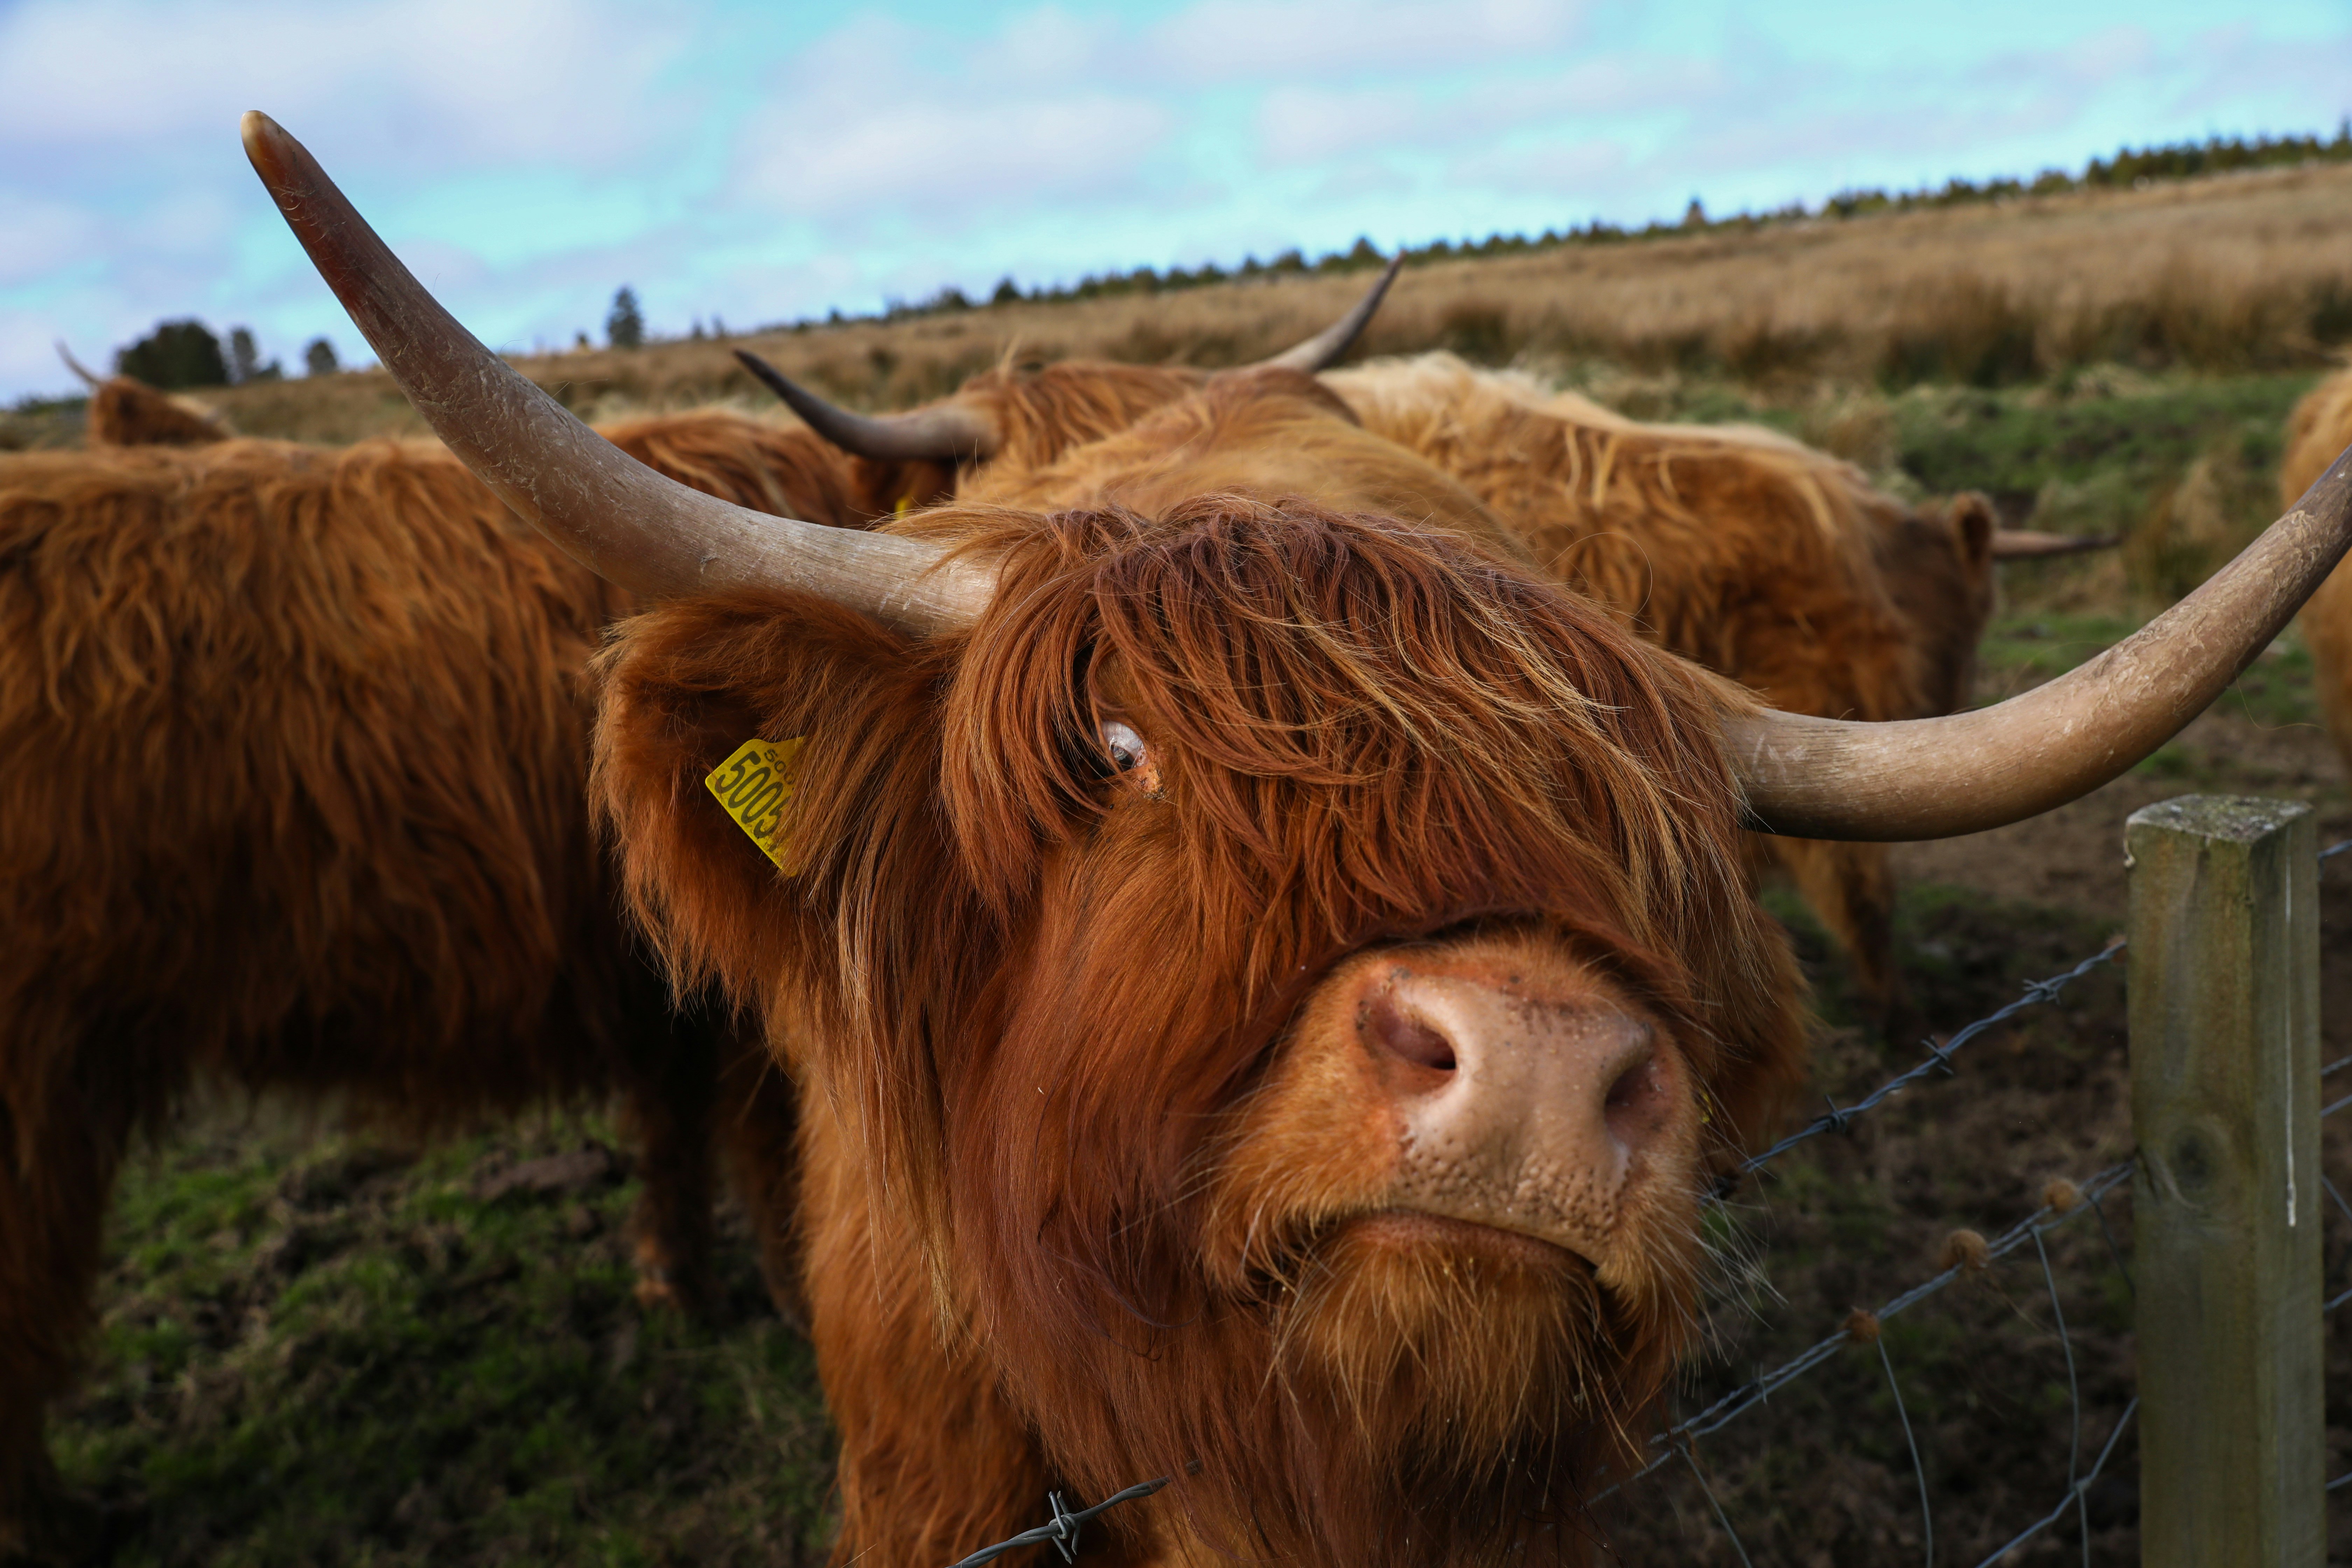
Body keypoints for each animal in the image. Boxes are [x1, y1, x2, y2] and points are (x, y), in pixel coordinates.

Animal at [0, 408, 860, 1556]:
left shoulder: (654, 981)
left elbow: (670, 1130)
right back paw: (51, 1519)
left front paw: (674, 1282)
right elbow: (763, 1147)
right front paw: (790, 1299)